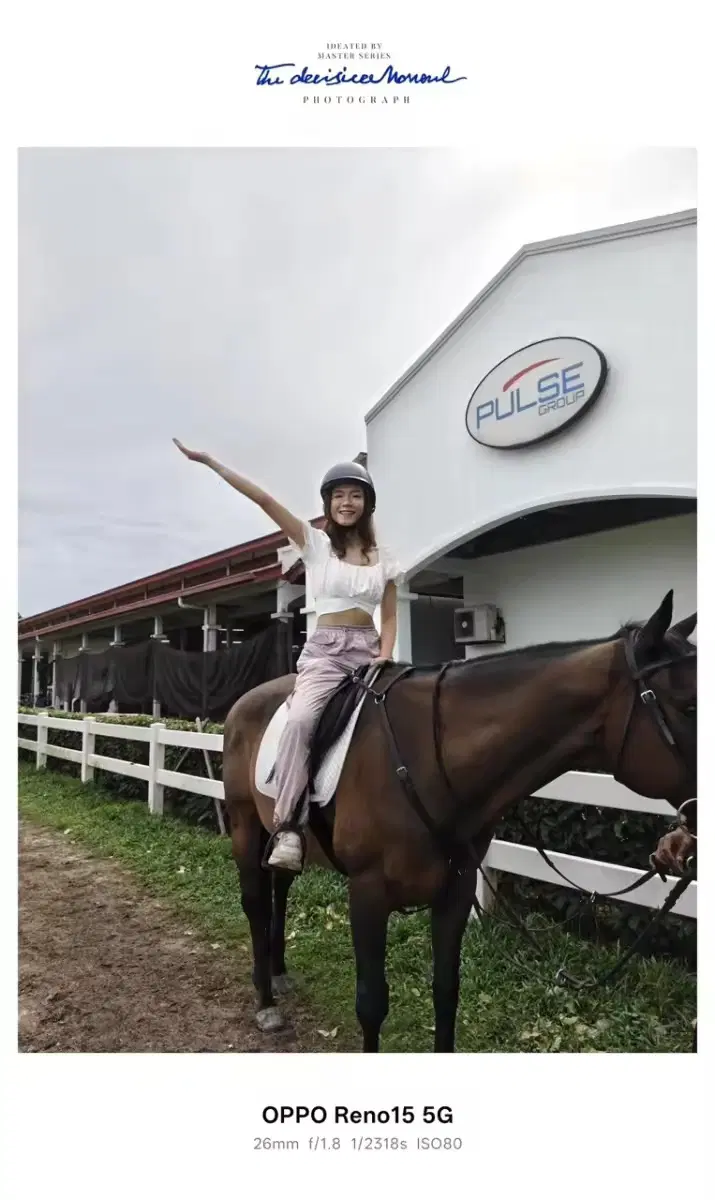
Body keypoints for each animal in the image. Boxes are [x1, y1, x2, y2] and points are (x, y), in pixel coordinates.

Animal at [221, 589, 696, 1052]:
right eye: (691, 706)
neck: (428, 757)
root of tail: (243, 702)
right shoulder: (368, 893)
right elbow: (371, 1004)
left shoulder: (457, 890)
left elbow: (446, 992)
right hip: (245, 823)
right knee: (255, 903)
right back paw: (266, 1002)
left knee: (281, 887)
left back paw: (278, 972)